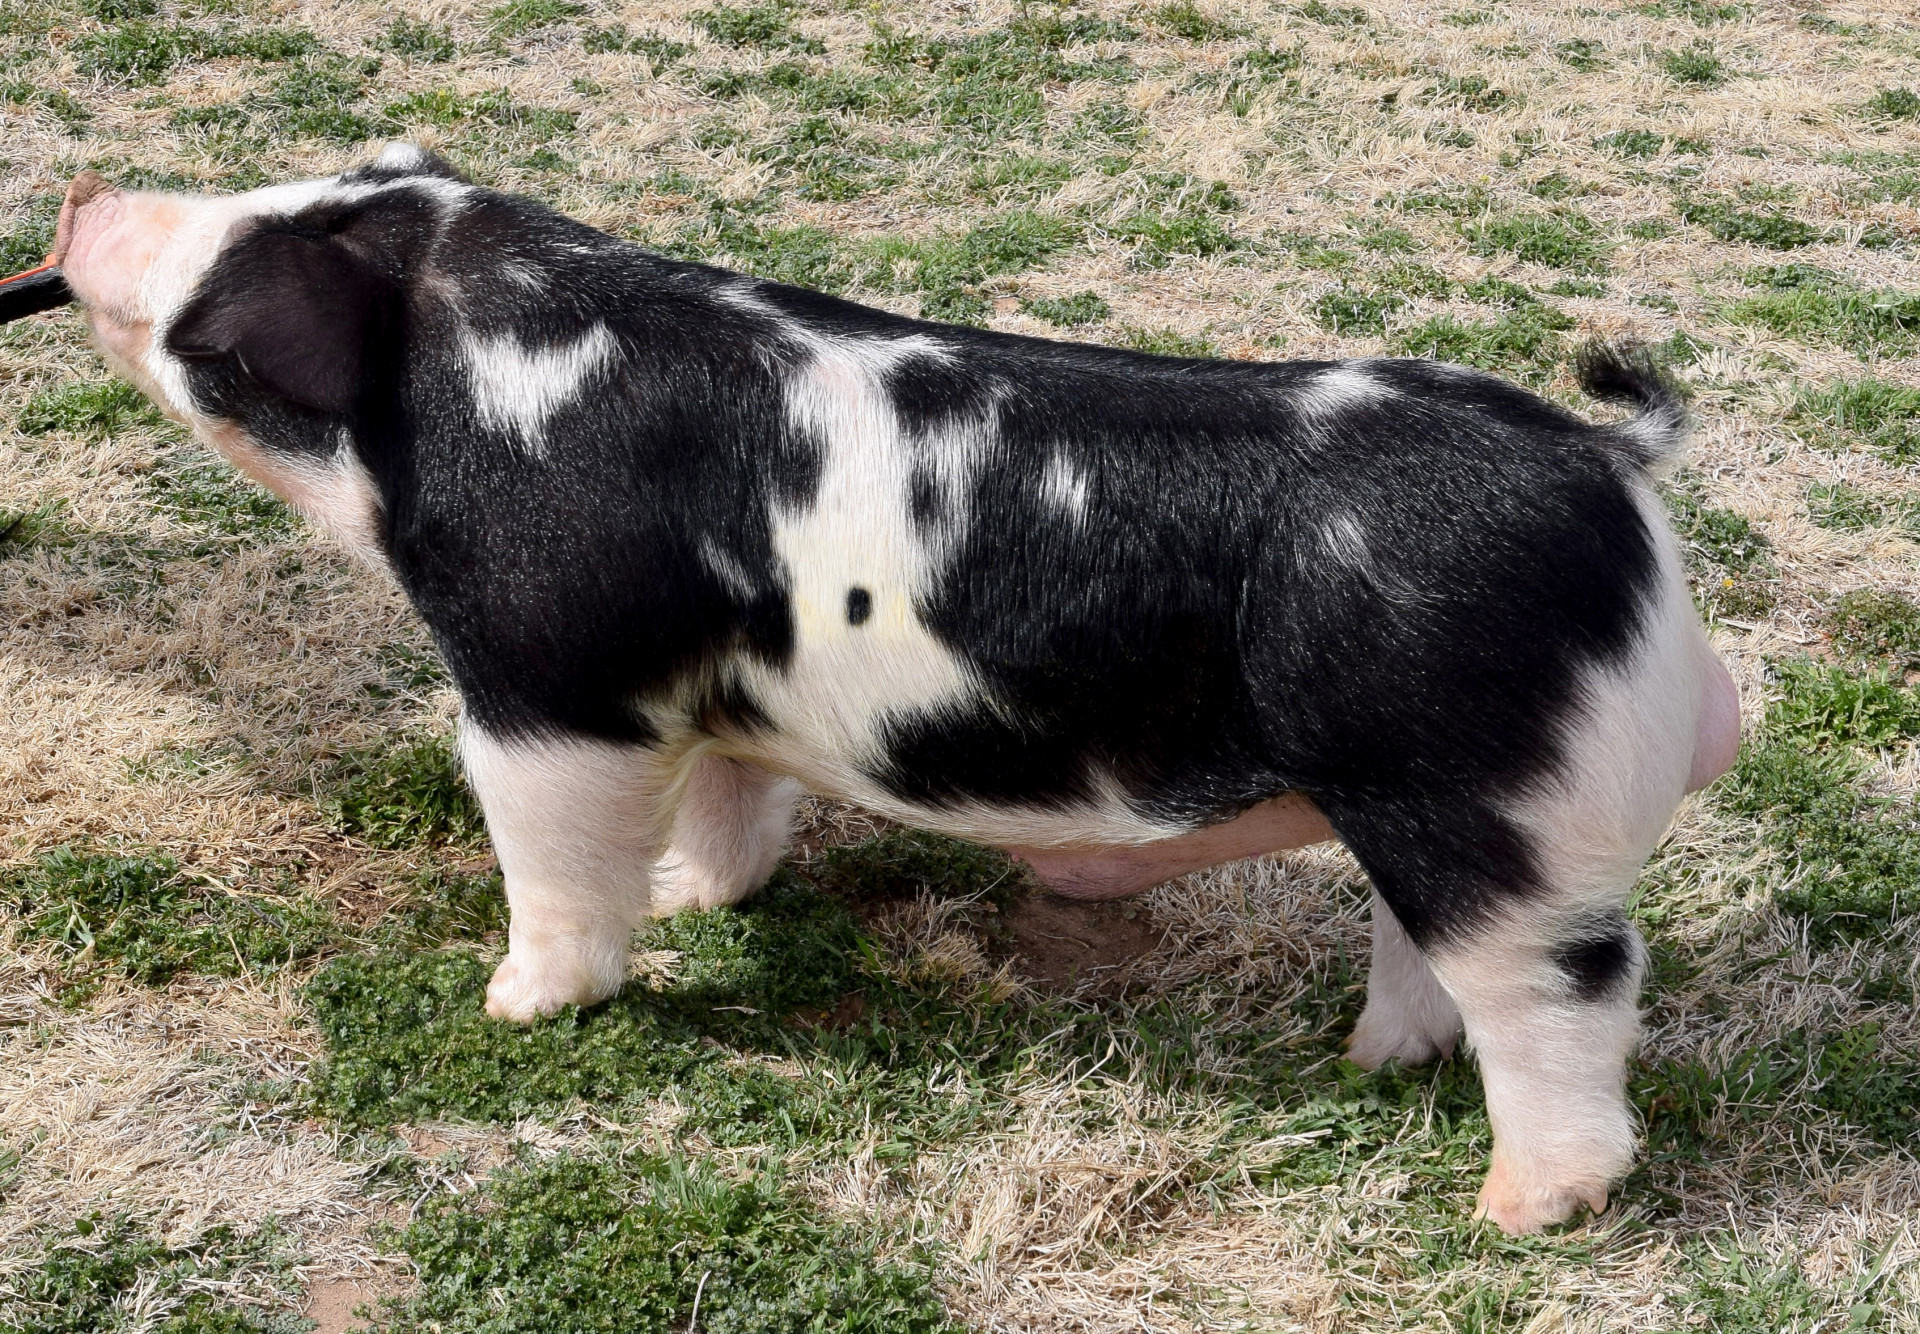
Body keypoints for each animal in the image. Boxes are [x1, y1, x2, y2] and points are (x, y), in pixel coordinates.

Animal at [46, 145, 1739, 1234]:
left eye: (220, 277)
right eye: (266, 190)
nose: (77, 192)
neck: (498, 376)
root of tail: (1608, 469)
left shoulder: (545, 676)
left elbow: (550, 847)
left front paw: (523, 998)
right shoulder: (717, 692)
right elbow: (729, 794)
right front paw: (699, 900)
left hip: (1478, 792)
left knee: (1568, 987)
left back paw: (1523, 1209)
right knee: (1434, 951)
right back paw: (1373, 1060)